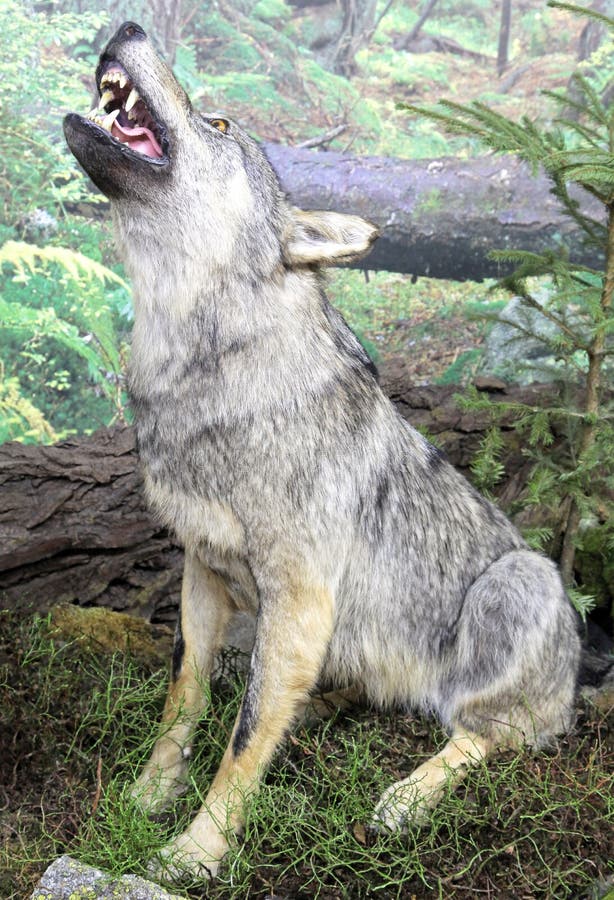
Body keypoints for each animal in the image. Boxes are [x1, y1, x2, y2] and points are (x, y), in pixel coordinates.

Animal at [64, 22, 580, 883]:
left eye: (221, 122)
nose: (128, 27)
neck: (196, 371)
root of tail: (584, 672)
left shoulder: (297, 596)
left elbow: (242, 739)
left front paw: (195, 852)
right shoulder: (202, 570)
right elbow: (187, 696)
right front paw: (147, 796)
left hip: (520, 580)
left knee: (491, 732)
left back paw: (409, 794)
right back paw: (326, 708)